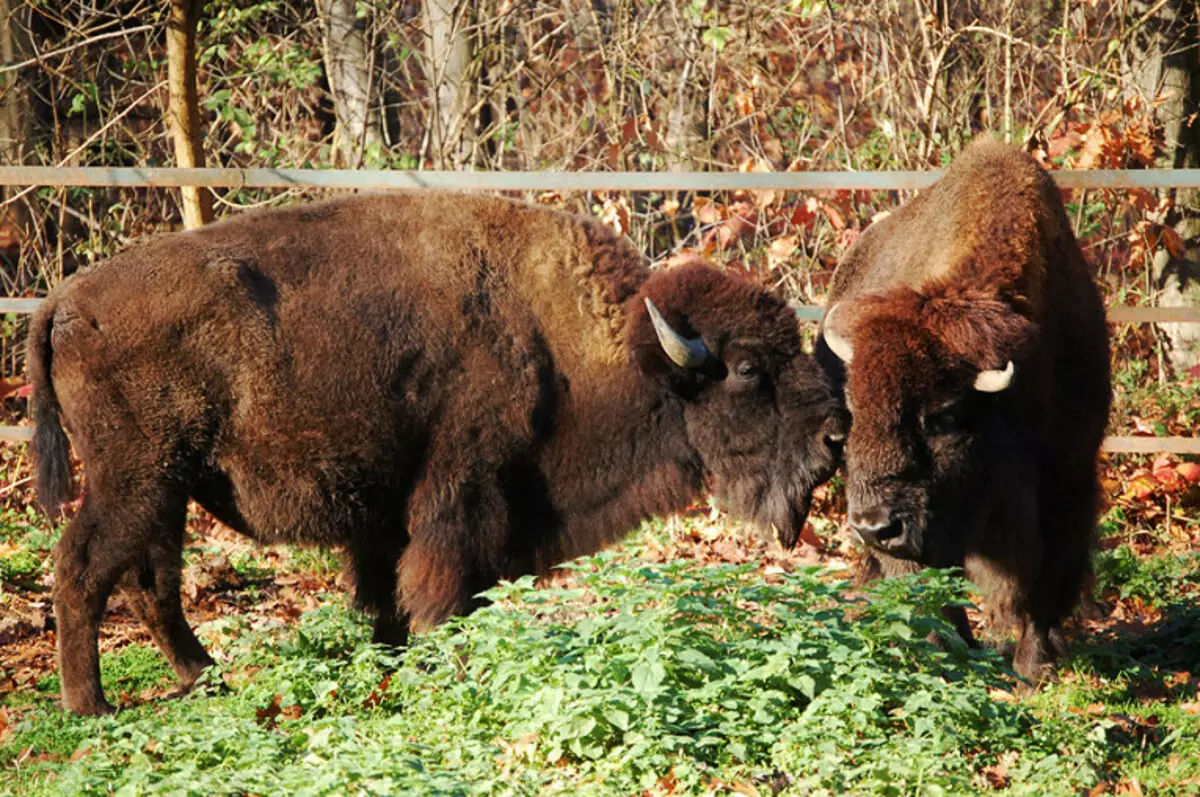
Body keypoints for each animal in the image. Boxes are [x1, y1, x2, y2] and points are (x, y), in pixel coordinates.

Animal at [32, 189, 849, 710]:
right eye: (748, 368)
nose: (835, 434)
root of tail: (62, 302)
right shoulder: (461, 496)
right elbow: (441, 591)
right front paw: (443, 667)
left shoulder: (391, 518)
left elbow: (390, 595)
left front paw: (391, 669)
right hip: (134, 480)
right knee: (83, 569)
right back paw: (90, 705)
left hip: (164, 489)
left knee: (149, 582)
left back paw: (205, 676)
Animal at [820, 138, 1108, 686]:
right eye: (856, 411)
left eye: (944, 416)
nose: (874, 527)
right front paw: (943, 653)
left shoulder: (1070, 478)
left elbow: (1047, 577)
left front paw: (1035, 666)